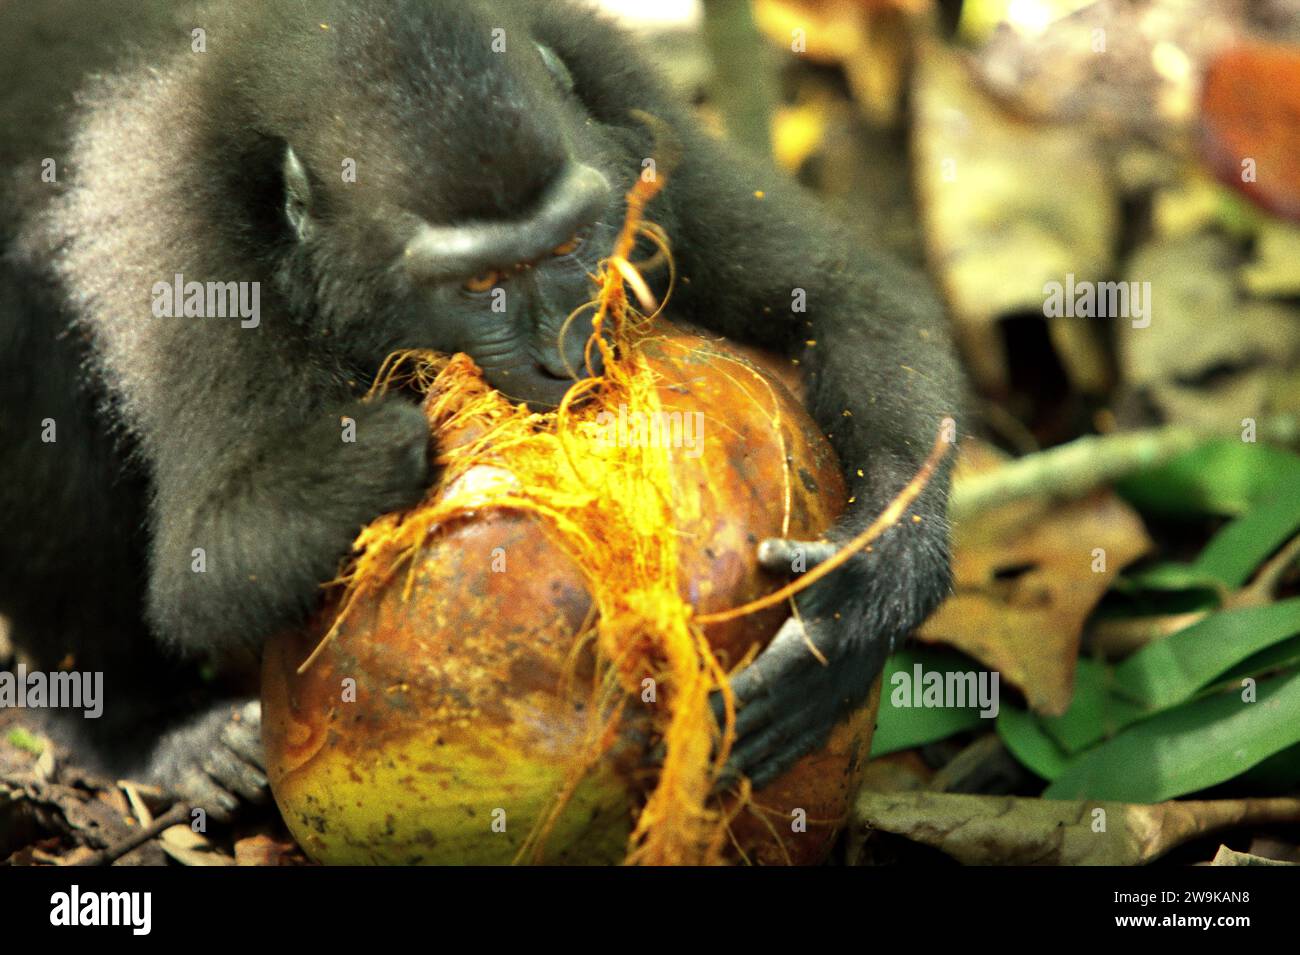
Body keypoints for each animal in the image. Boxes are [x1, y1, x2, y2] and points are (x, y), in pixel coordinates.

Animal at [0, 0, 960, 820]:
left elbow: (841, 297)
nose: (563, 355)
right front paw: (399, 424)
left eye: (568, 243)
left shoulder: (624, 100)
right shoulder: (188, 241)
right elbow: (200, 571)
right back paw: (144, 728)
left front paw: (864, 591)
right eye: (479, 283)